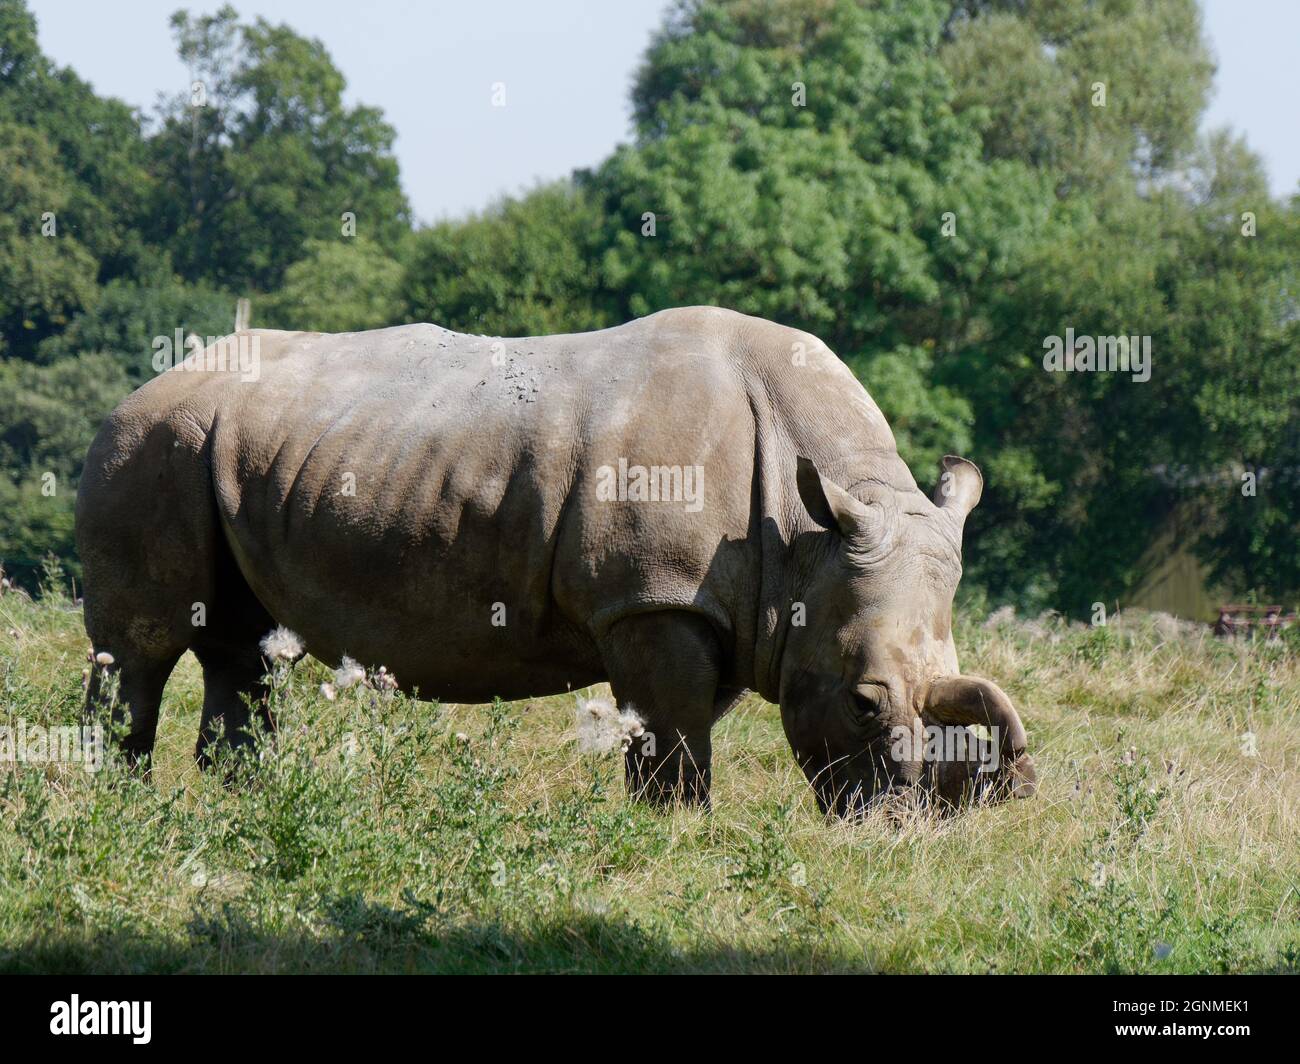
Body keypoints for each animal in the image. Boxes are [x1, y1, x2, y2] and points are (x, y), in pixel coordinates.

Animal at [77, 306, 1035, 814]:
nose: (900, 829)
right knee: (141, 646)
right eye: (867, 703)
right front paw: (676, 837)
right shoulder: (653, 598)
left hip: (233, 451)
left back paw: (242, 802)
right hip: (152, 444)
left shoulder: (722, 612)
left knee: (239, 648)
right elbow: (674, 746)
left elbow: (675, 733)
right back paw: (116, 807)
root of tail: (145, 383)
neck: (806, 533)